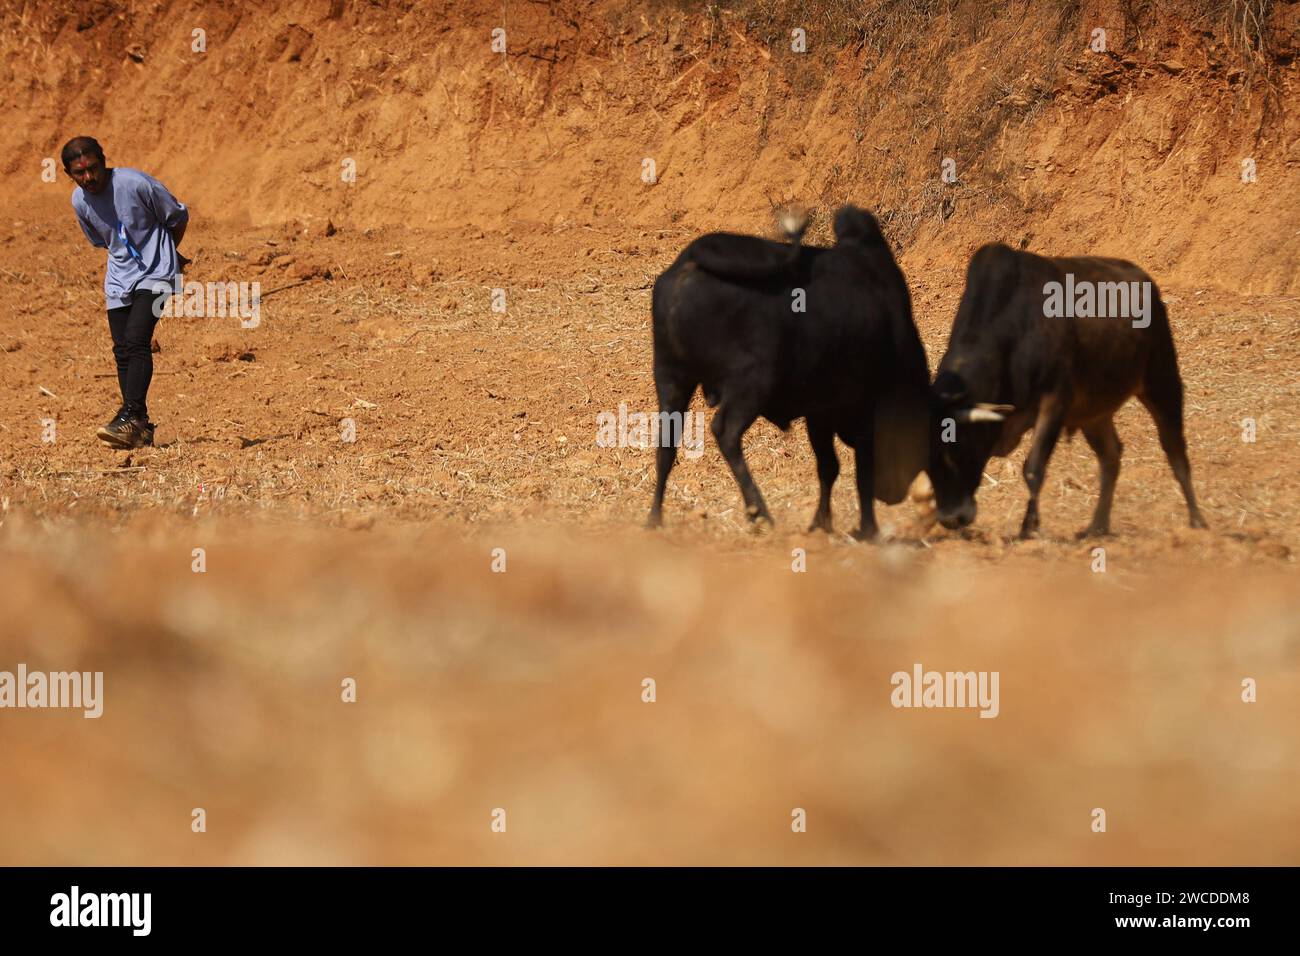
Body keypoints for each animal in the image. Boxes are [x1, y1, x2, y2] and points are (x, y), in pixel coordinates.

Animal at [646, 205, 930, 540]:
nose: (892, 494)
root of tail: (692, 258)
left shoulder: (820, 414)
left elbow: (829, 468)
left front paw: (821, 523)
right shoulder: (862, 413)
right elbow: (861, 474)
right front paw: (867, 529)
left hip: (672, 378)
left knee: (666, 445)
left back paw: (655, 519)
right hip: (751, 385)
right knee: (725, 433)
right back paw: (760, 513)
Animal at [928, 242, 1207, 538]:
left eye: (958, 450)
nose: (951, 519)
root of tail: (1143, 278)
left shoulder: (1054, 401)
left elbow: (1033, 468)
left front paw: (1029, 528)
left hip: (1162, 382)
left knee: (1175, 450)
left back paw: (1197, 520)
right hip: (1094, 414)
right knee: (1111, 456)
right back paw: (1097, 526)